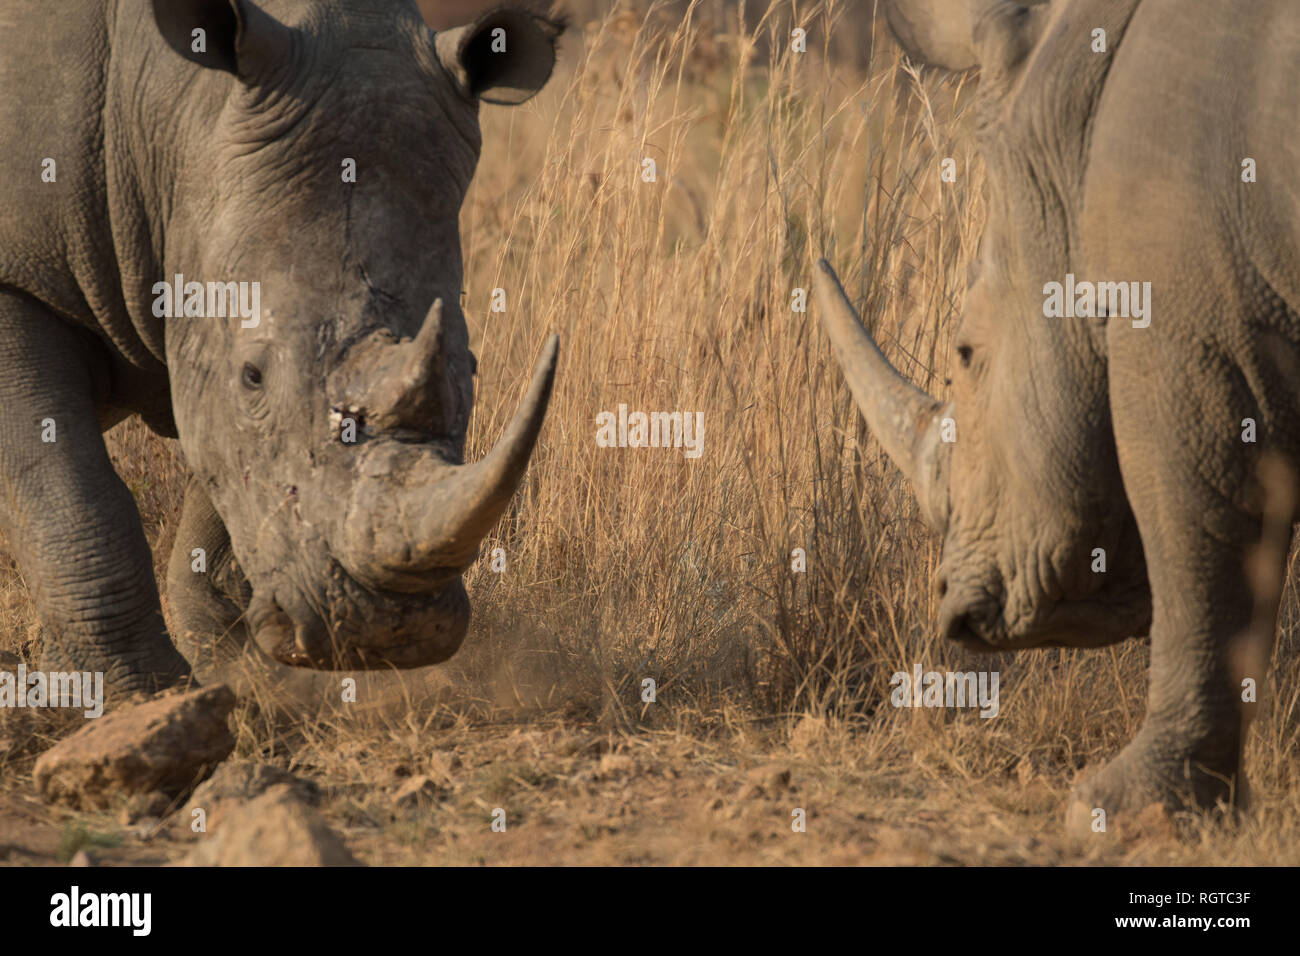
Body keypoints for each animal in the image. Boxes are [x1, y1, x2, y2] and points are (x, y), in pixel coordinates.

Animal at [0, 0, 563, 694]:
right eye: (253, 376)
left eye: (473, 370)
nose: (385, 633)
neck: (171, 116)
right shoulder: (17, 280)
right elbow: (72, 497)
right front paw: (141, 691)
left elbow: (220, 485)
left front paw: (236, 671)